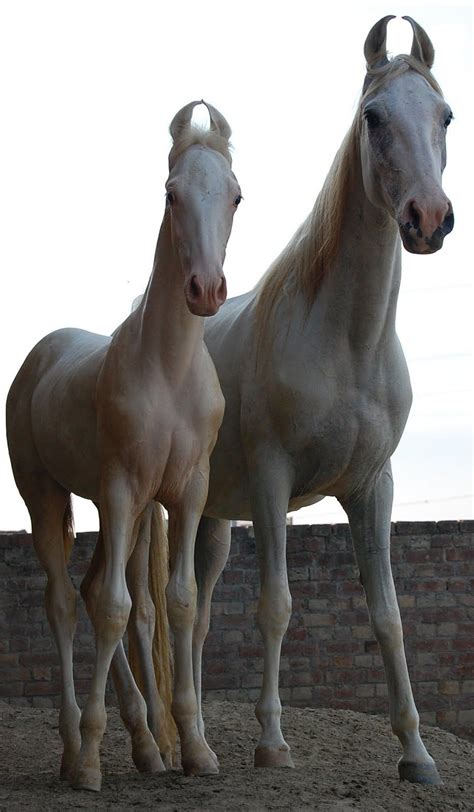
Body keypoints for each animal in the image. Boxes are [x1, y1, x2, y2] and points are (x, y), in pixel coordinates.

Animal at [6, 99, 242, 791]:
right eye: (170, 193)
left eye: (236, 195)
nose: (205, 290)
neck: (167, 369)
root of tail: (41, 354)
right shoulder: (117, 489)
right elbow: (114, 608)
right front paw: (89, 761)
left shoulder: (185, 495)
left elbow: (179, 603)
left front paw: (195, 749)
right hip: (50, 498)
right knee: (65, 602)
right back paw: (71, 747)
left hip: (132, 517)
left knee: (93, 595)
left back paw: (144, 745)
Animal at [145, 16, 454, 785]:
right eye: (373, 116)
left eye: (445, 115)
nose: (428, 218)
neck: (346, 342)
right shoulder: (272, 483)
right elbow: (276, 607)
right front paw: (272, 743)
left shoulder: (373, 488)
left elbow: (389, 616)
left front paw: (417, 754)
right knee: (164, 612)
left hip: (211, 521)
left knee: (198, 616)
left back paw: (196, 741)